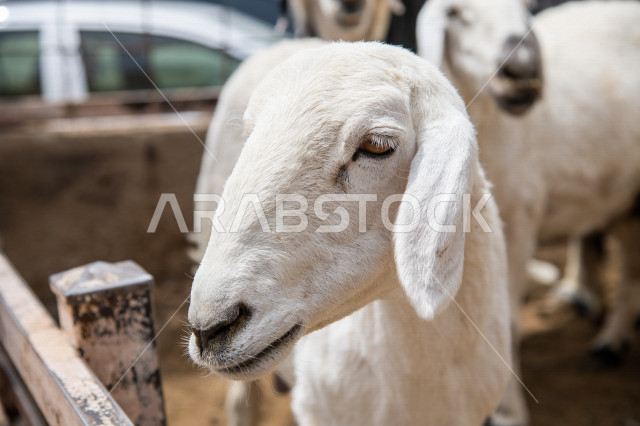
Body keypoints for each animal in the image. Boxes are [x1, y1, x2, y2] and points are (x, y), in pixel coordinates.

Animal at [417, 0, 640, 424]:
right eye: (457, 14)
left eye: (525, 9)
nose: (523, 71)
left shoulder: (519, 220)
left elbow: (506, 320)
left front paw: (507, 412)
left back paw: (610, 342)